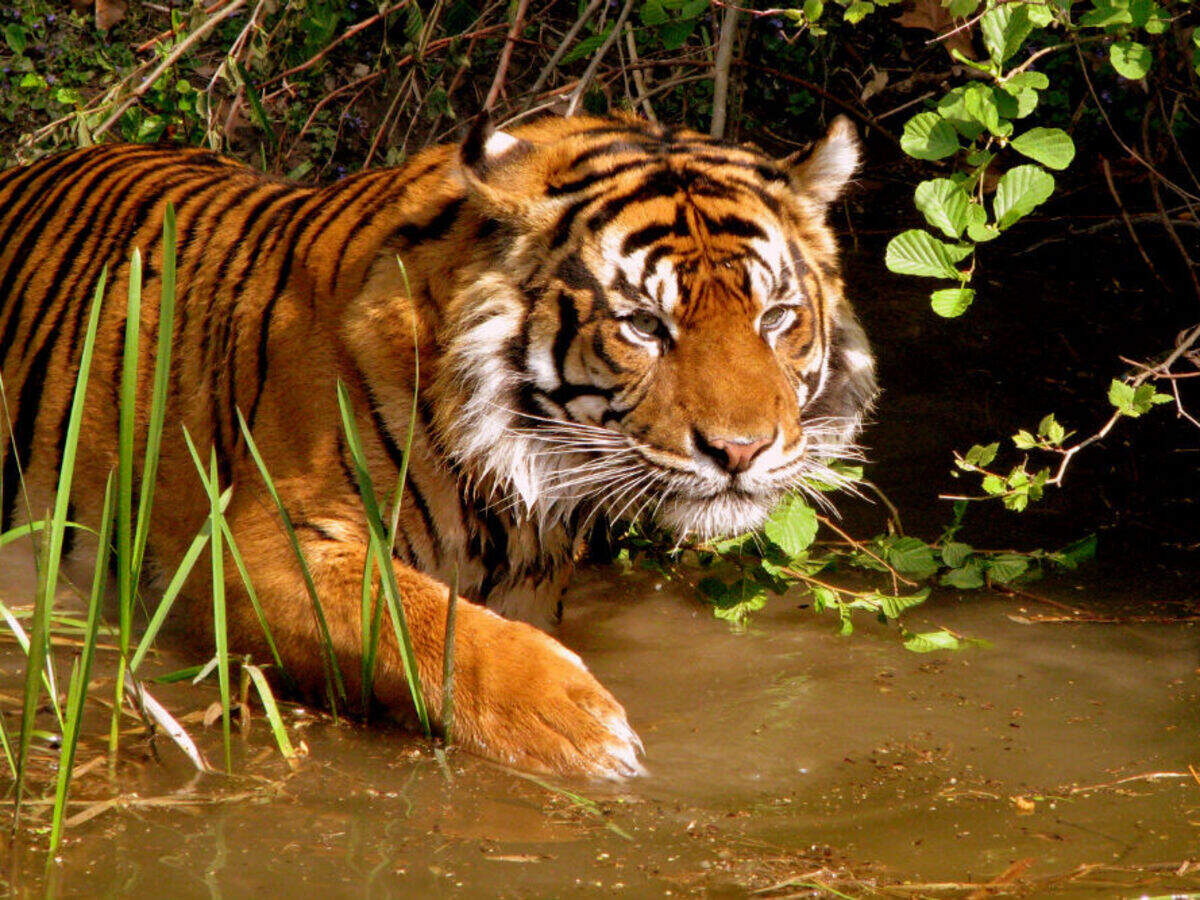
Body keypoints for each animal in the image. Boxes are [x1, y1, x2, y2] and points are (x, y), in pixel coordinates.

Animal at [0, 113, 875, 777]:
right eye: (643, 325)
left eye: (775, 317)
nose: (741, 450)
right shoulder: (251, 546)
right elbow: (425, 621)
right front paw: (582, 731)